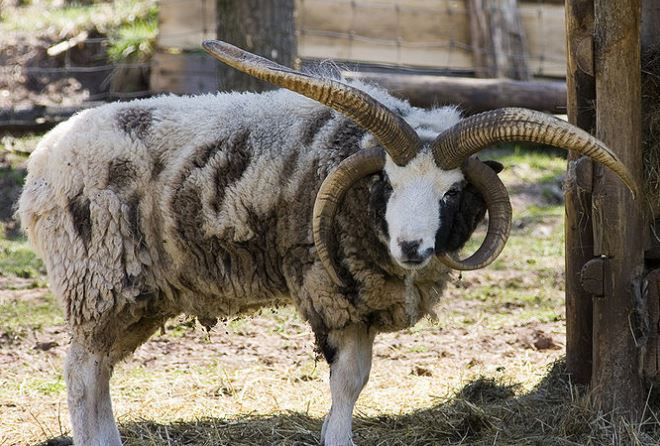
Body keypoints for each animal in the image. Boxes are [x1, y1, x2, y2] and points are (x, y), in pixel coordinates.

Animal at [17, 40, 638, 446]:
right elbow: (347, 382)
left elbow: (358, 381)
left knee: (99, 372)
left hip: (136, 294)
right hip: (96, 280)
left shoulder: (363, 301)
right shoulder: (334, 293)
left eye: (453, 192)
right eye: (386, 182)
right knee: (80, 374)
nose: (413, 248)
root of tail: (38, 168)